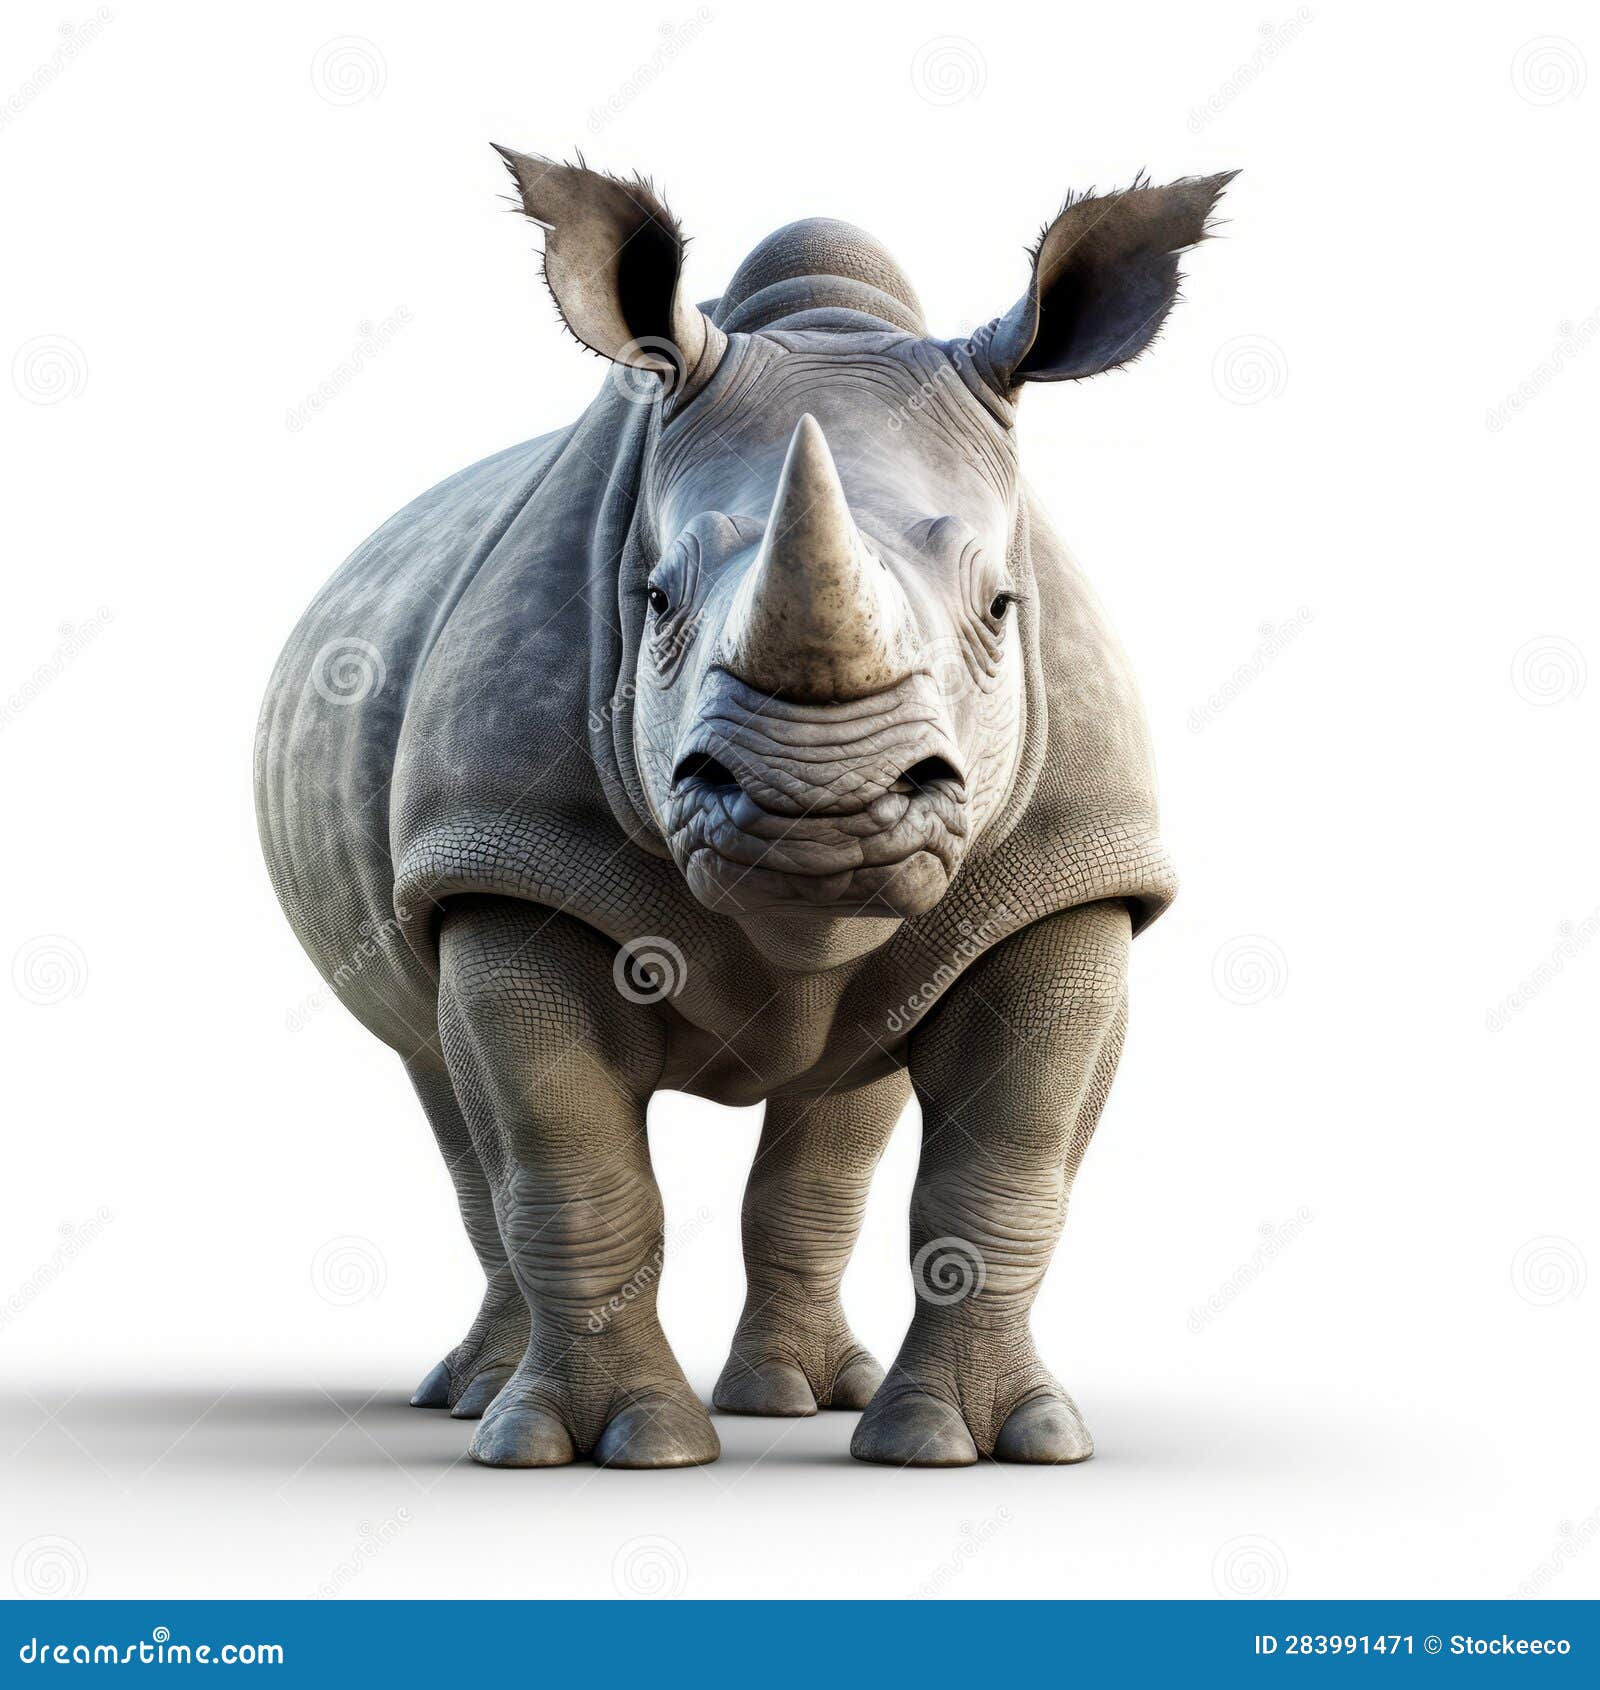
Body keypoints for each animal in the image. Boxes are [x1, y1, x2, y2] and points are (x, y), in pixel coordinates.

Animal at [256, 149, 1233, 1468]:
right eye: (656, 602)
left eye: (1001, 610)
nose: (821, 803)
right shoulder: (501, 860)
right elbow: (570, 1176)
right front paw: (606, 1447)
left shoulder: (1070, 875)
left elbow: (1003, 1178)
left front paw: (994, 1442)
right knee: (446, 1092)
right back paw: (476, 1401)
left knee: (838, 1101)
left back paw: (802, 1398)